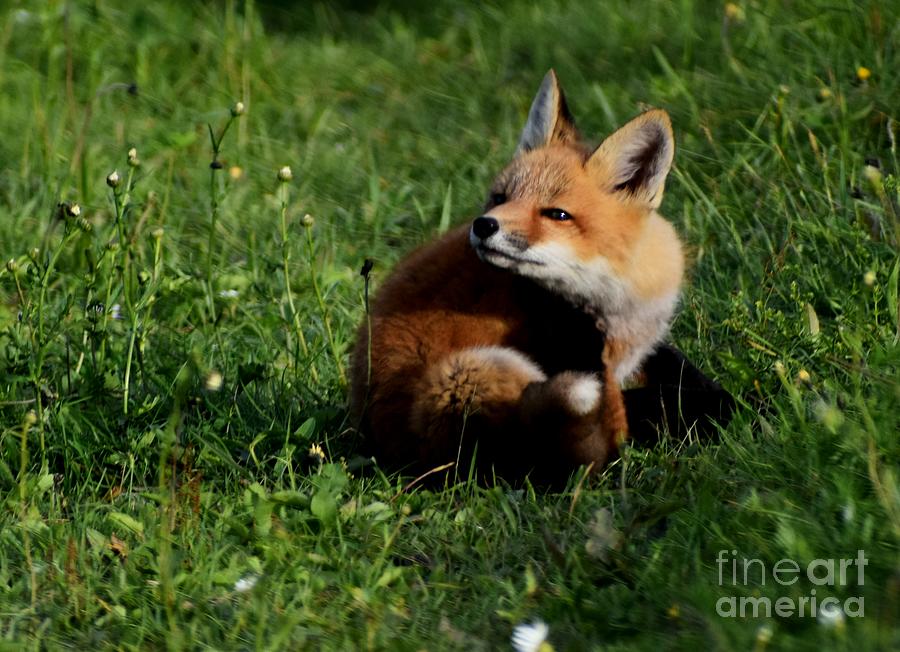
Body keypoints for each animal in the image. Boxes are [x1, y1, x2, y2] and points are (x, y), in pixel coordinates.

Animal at [351, 70, 732, 483]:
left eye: (557, 214)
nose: (483, 225)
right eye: (500, 197)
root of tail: (374, 439)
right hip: (466, 373)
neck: (615, 303)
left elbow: (689, 376)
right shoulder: (577, 356)